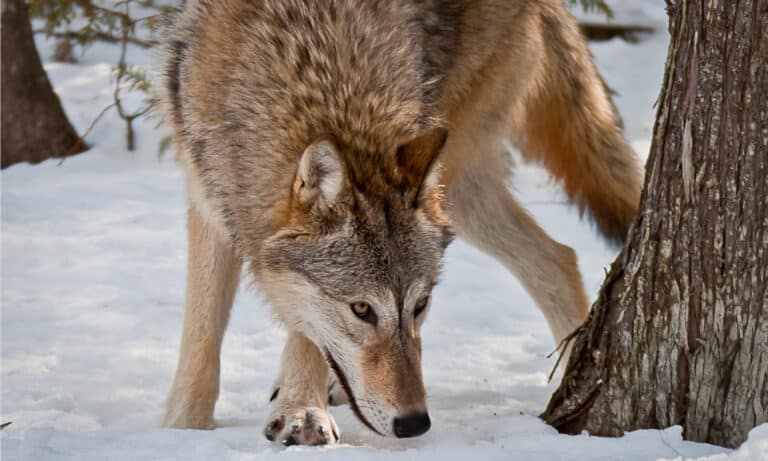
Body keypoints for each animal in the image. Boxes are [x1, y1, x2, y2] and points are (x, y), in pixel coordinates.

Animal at [158, 0, 642, 445]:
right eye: (361, 310)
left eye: (420, 305)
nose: (415, 424)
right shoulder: (208, 196)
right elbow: (202, 336)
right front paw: (183, 429)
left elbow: (305, 327)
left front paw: (300, 412)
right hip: (460, 194)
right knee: (559, 257)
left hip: (452, 167)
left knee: (559, 256)